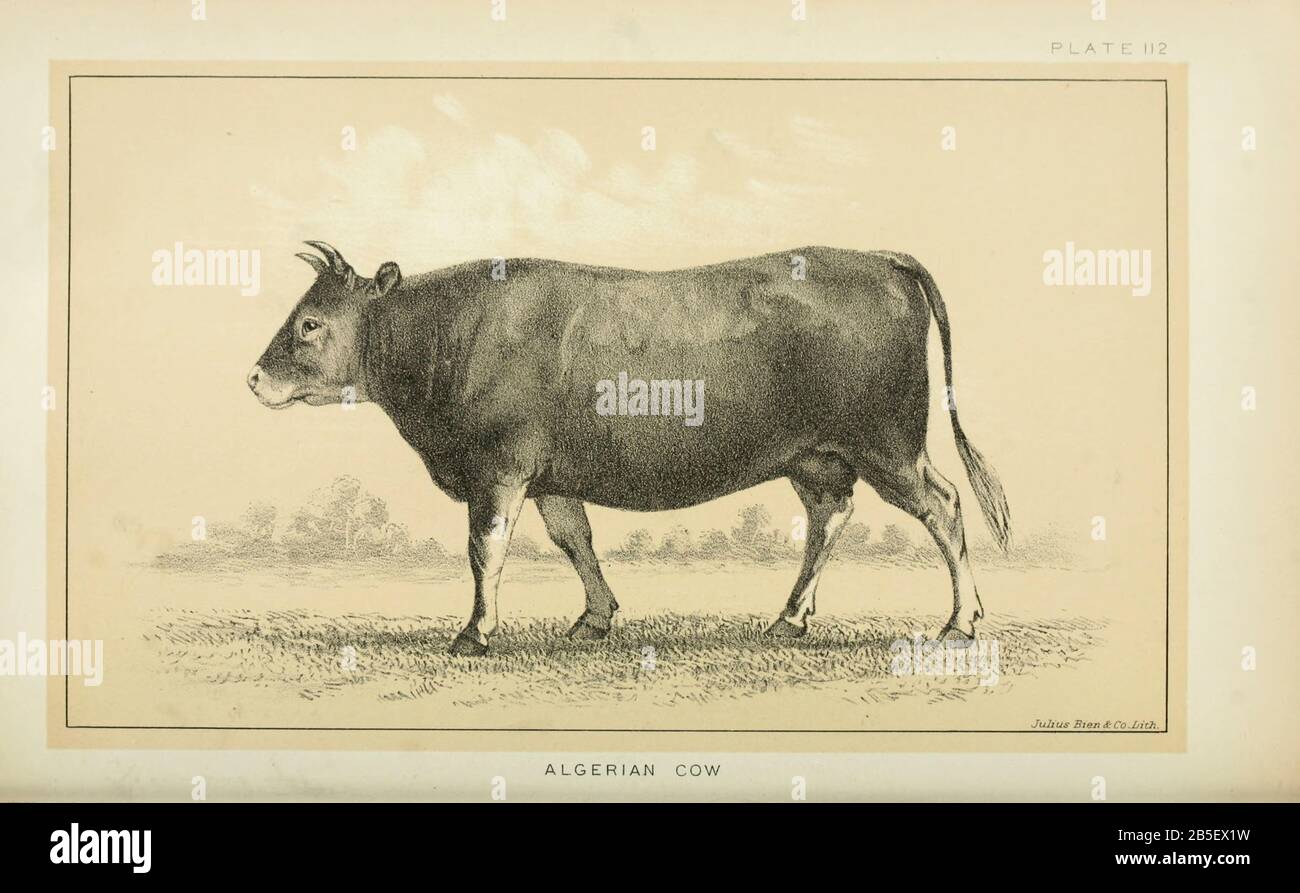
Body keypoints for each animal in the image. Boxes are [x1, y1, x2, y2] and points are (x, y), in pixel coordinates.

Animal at [247, 241, 1010, 656]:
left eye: (310, 322)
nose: (254, 377)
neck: (451, 332)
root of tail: (880, 257)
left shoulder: (497, 468)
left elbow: (485, 550)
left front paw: (475, 633)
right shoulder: (550, 473)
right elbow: (574, 539)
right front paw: (594, 618)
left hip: (889, 443)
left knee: (944, 506)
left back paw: (959, 623)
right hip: (817, 455)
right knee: (831, 517)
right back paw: (789, 619)